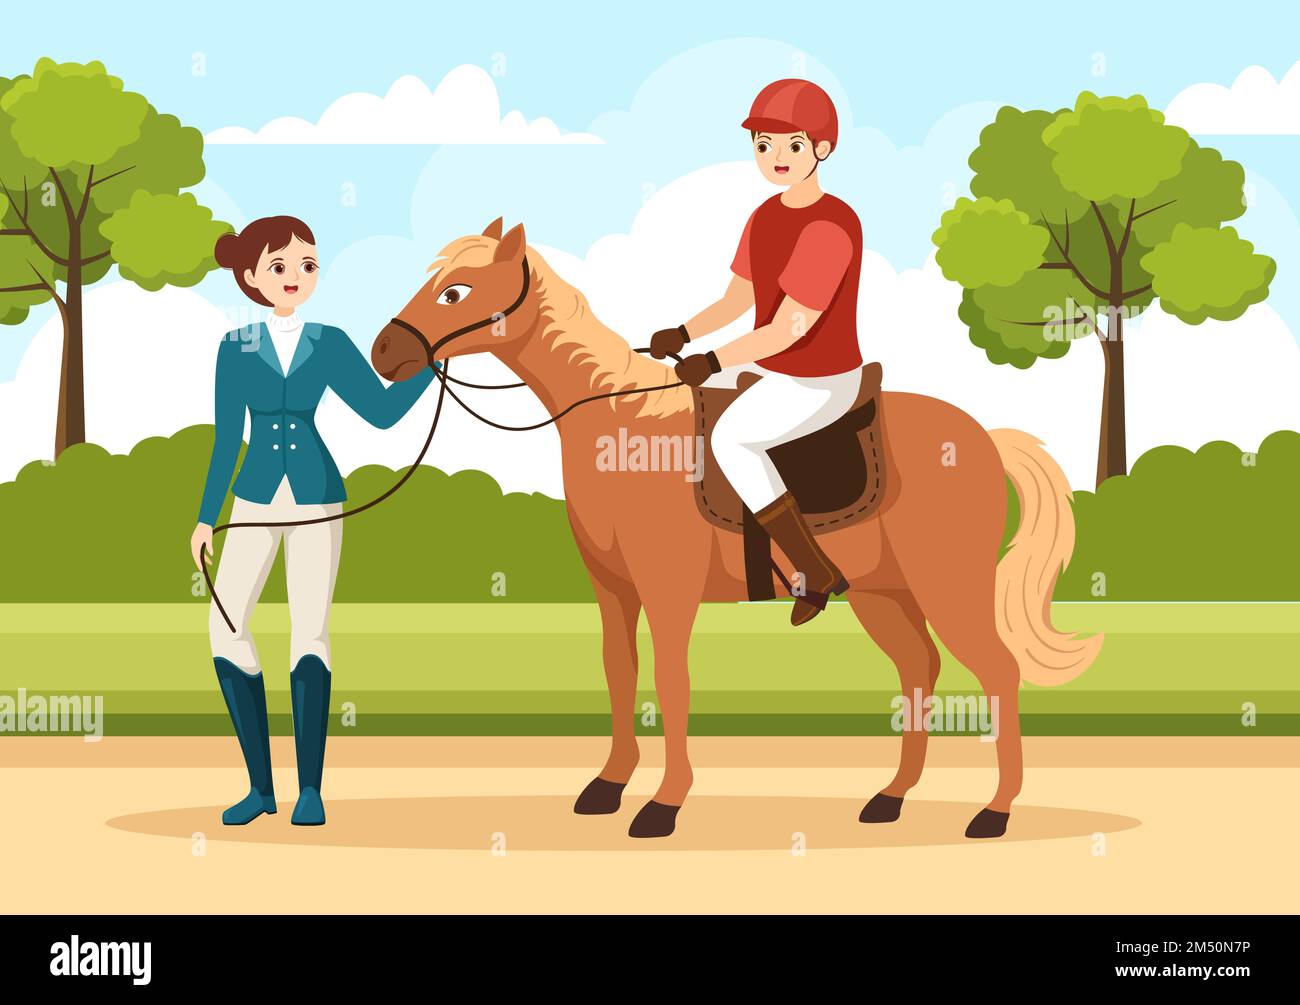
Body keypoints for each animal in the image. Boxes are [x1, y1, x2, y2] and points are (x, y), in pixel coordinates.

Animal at [371, 218, 1103, 840]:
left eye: (455, 291)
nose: (384, 353)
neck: (622, 428)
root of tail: (983, 437)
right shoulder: (612, 589)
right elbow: (618, 672)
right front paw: (608, 786)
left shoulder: (667, 593)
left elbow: (671, 682)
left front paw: (663, 804)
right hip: (882, 593)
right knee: (918, 668)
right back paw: (892, 797)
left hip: (948, 587)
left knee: (999, 672)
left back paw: (995, 811)